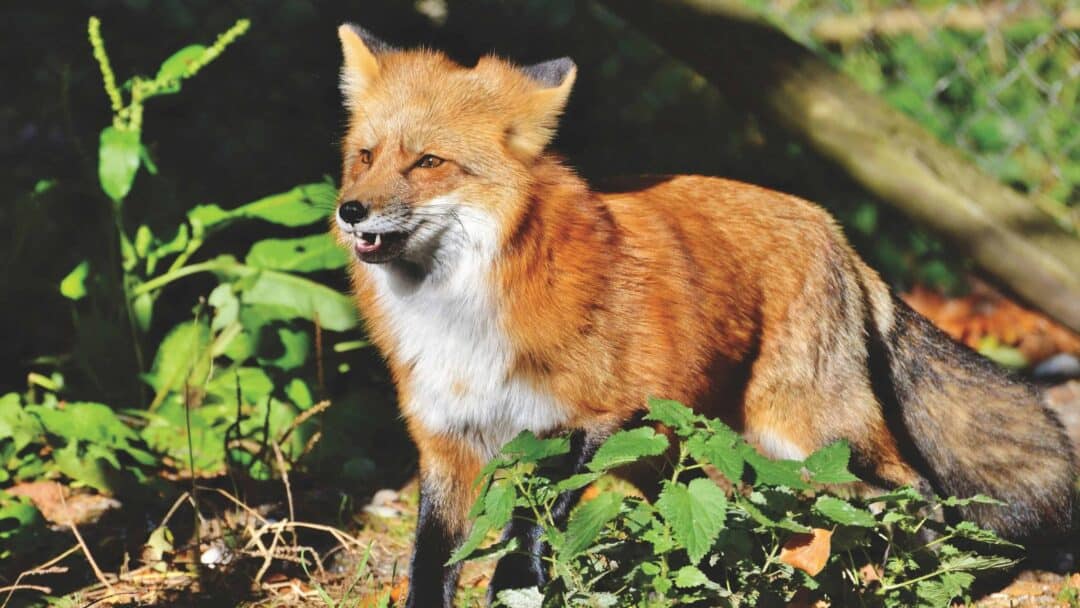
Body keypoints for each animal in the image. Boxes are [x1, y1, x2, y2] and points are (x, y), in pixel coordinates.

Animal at [330, 24, 1076, 607]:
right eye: (366, 155)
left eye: (429, 162)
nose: (350, 211)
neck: (460, 315)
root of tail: (831, 226)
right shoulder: (446, 442)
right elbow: (432, 564)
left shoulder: (585, 419)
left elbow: (526, 538)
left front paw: (518, 587)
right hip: (682, 451)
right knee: (735, 518)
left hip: (807, 432)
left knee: (914, 491)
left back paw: (917, 578)